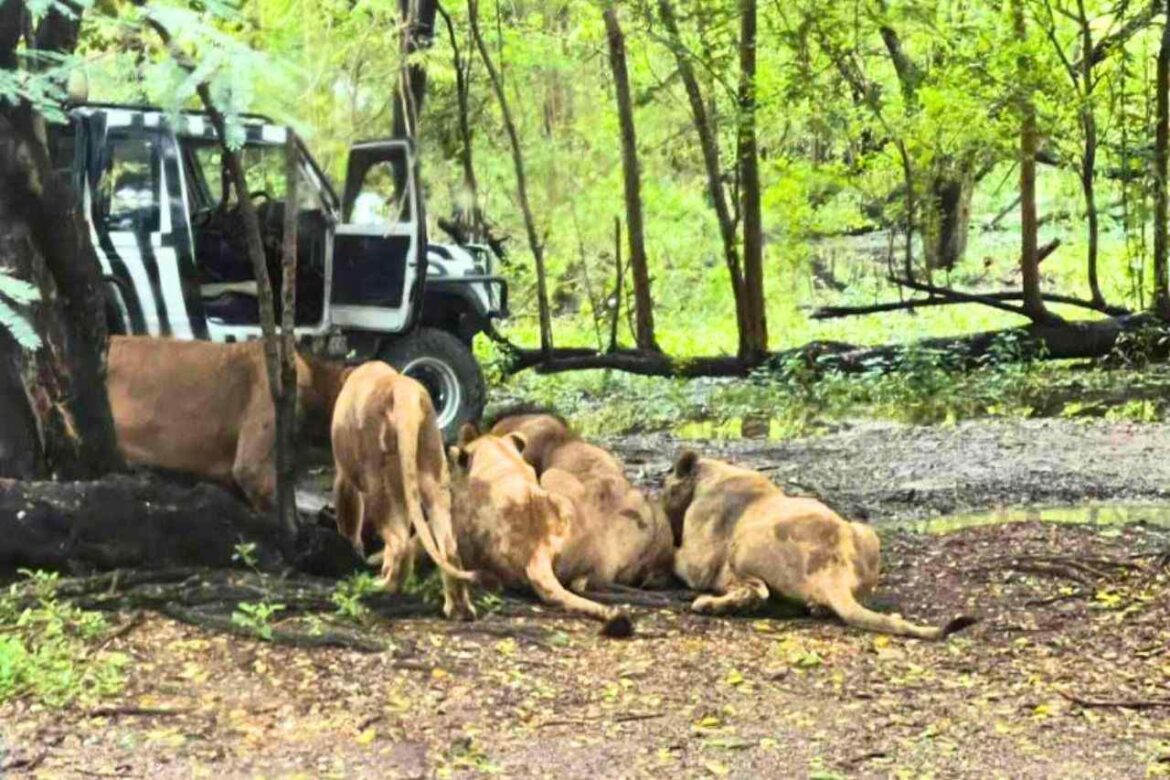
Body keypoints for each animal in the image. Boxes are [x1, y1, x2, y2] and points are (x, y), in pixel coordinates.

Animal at [331, 362, 476, 620]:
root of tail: (403, 390)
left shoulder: (344, 474)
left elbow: (349, 517)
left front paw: (353, 548)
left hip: (378, 482)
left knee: (401, 543)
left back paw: (384, 586)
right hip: (432, 473)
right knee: (448, 547)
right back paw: (459, 609)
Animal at [662, 450, 975, 639]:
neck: (713, 473)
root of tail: (833, 567)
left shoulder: (697, 562)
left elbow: (678, 559)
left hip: (746, 542)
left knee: (757, 593)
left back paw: (707, 604)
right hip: (865, 531)